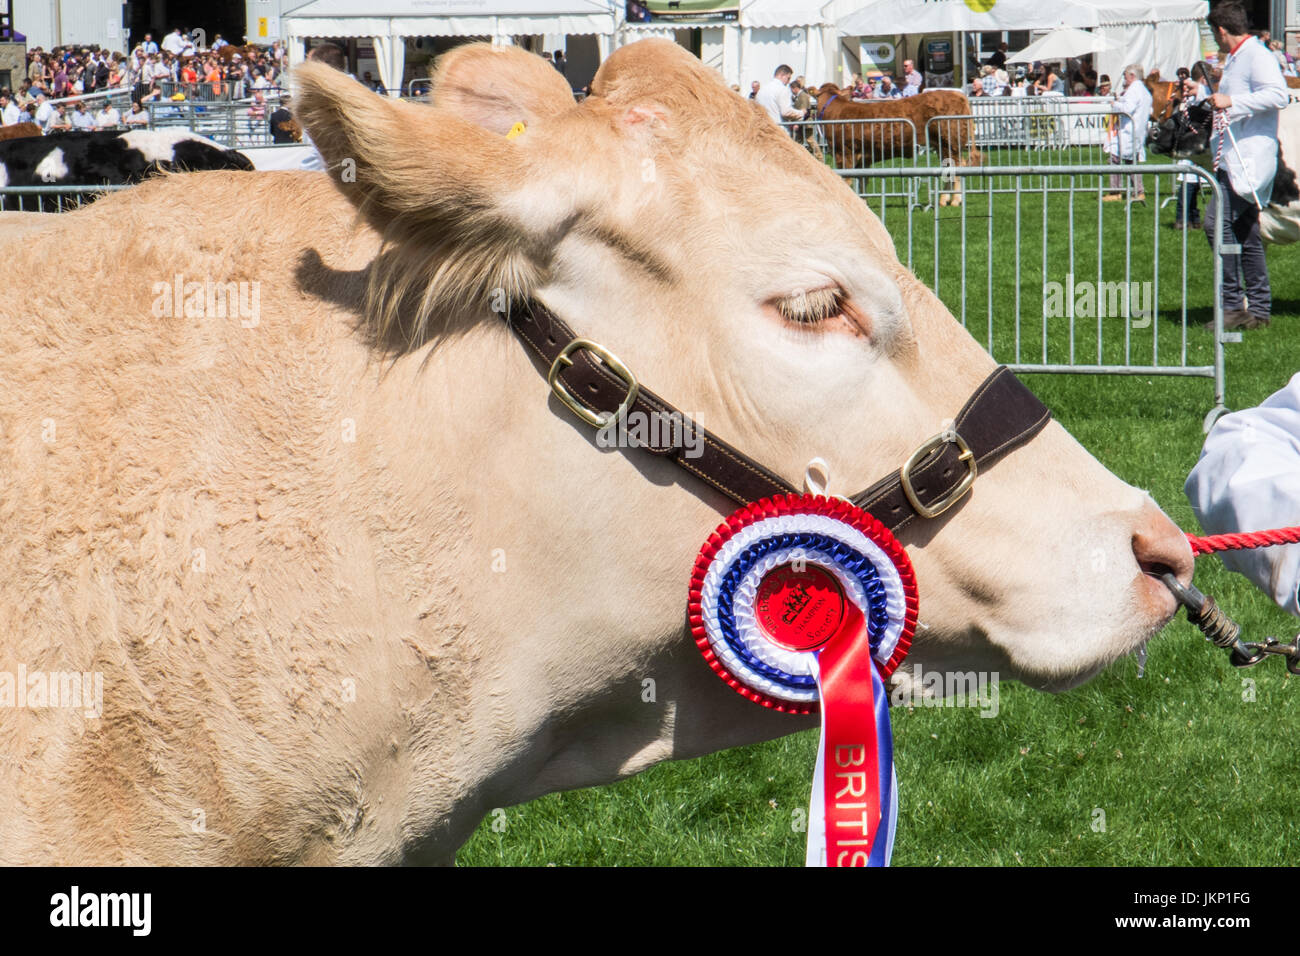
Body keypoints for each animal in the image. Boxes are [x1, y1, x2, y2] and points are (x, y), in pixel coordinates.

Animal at [809, 86, 980, 205]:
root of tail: (958, 94)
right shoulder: (862, 159)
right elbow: (863, 181)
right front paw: (863, 203)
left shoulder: (844, 153)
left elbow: (846, 181)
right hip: (942, 146)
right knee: (948, 168)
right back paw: (944, 199)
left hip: (950, 143)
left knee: (957, 167)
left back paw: (955, 200)